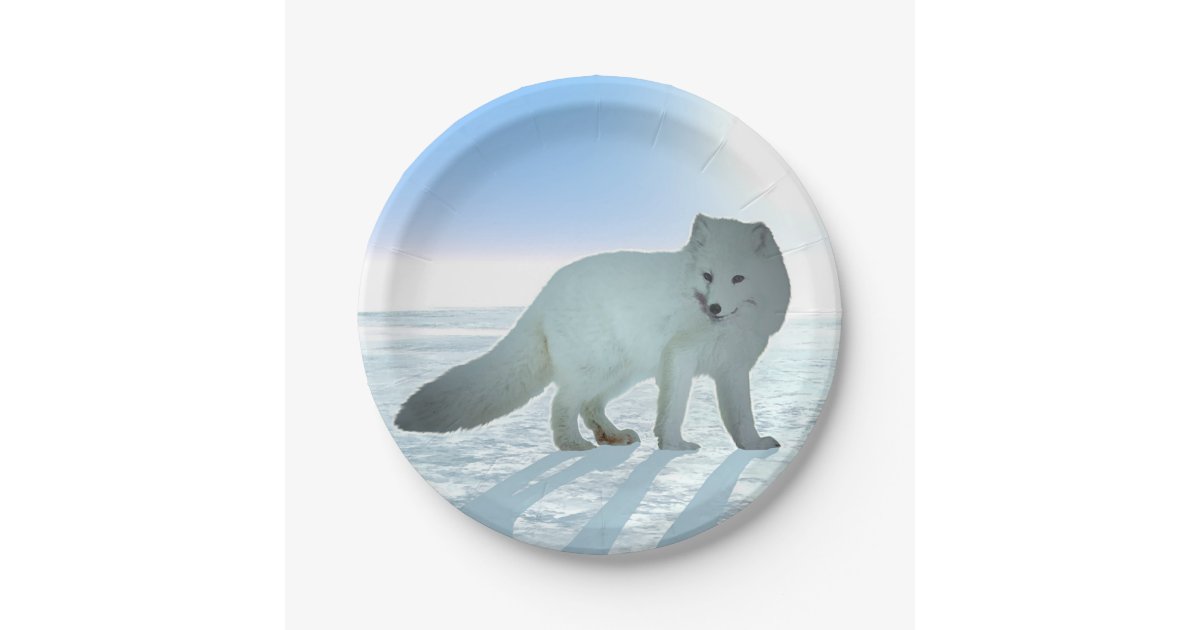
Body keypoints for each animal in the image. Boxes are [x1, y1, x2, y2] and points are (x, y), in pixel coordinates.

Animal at [394, 214, 791, 451]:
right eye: (707, 275)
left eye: (738, 278)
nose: (714, 308)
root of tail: (545, 291)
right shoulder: (679, 356)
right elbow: (674, 408)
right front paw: (674, 445)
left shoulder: (733, 368)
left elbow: (741, 414)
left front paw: (753, 445)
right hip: (598, 368)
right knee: (562, 402)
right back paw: (573, 445)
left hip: (622, 373)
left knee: (589, 405)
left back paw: (612, 436)